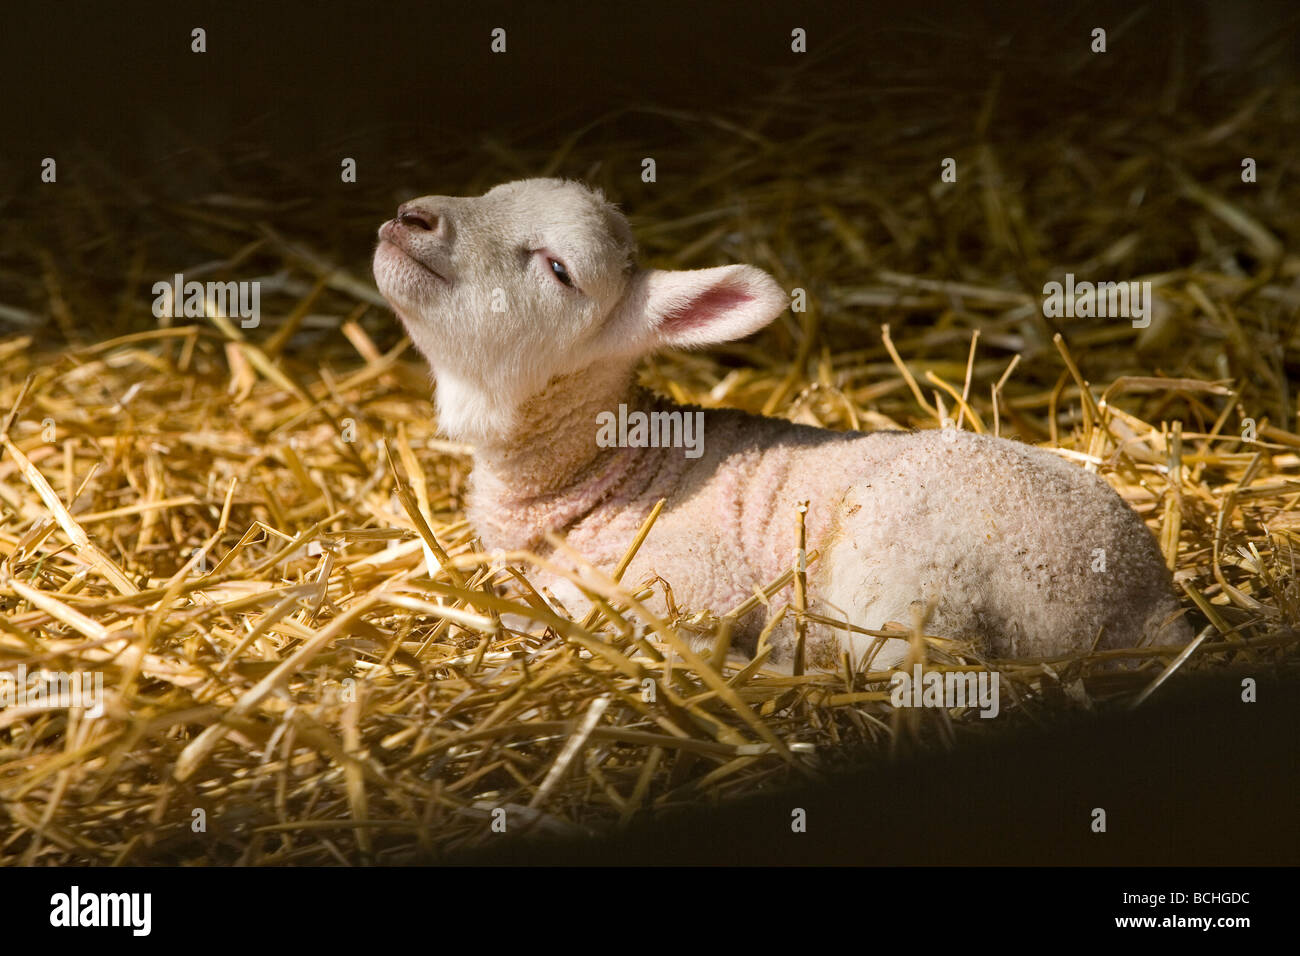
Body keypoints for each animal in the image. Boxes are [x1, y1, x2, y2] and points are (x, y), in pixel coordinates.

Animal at [372, 177, 1191, 671]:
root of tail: (1150, 604)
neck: (603, 476)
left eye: (558, 270)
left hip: (913, 576)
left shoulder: (690, 578)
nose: (411, 218)